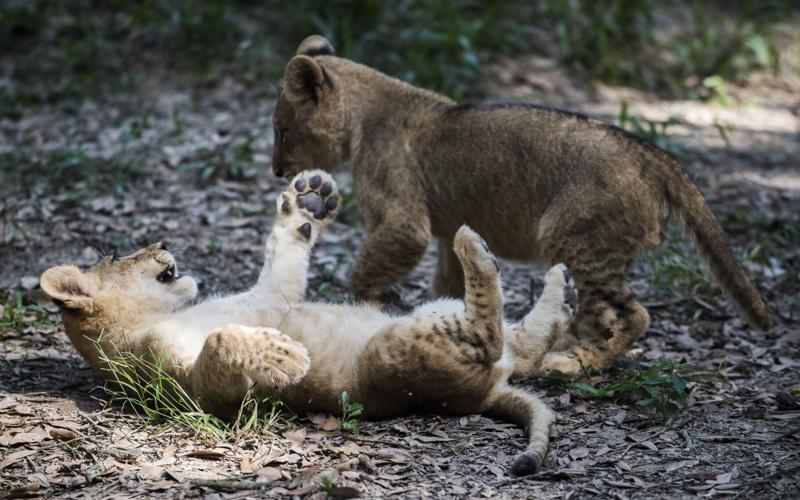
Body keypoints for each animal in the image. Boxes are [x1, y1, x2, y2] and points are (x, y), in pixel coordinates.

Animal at [40, 171, 577, 475]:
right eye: (116, 255)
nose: (162, 242)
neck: (169, 312)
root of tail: (484, 395)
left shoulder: (271, 292)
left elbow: (284, 256)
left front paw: (307, 201)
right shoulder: (191, 391)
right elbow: (220, 342)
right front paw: (286, 354)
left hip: (434, 316)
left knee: (520, 345)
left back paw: (561, 287)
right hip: (397, 349)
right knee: (489, 335)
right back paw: (474, 247)